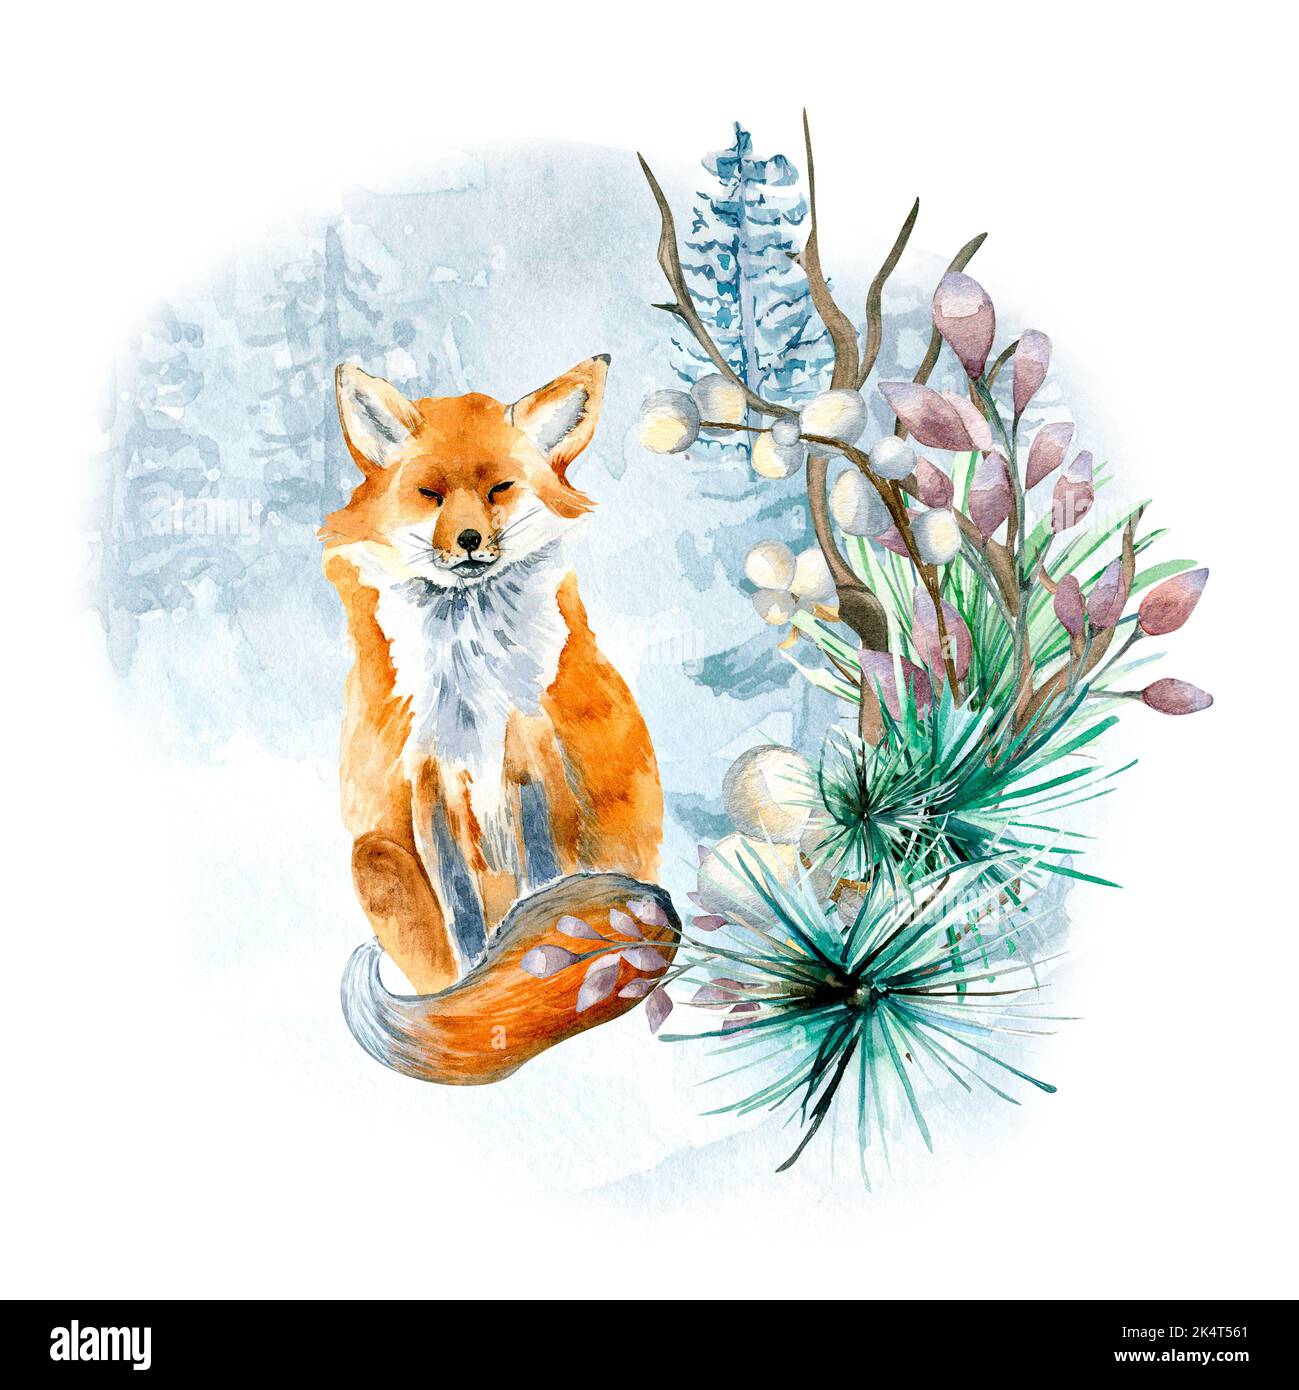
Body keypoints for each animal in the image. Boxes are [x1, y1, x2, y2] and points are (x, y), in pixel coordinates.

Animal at [321, 354, 679, 1084]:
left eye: (500, 489)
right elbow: (463, 926)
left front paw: (534, 959)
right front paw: (481, 977)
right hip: (374, 856)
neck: (471, 688)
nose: (467, 542)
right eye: (430, 493)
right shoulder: (429, 785)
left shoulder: (534, 762)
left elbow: (539, 885)